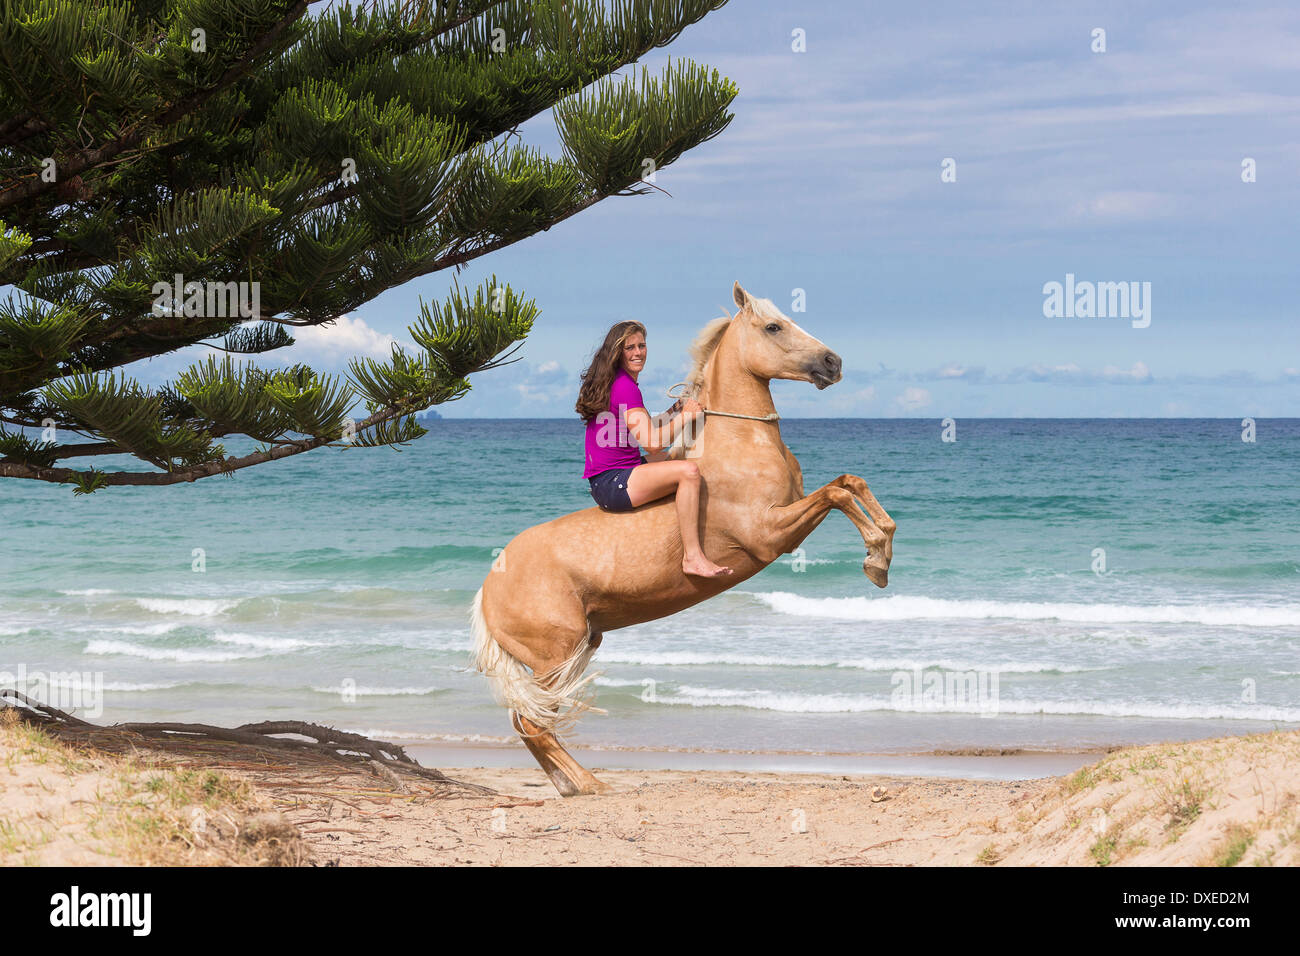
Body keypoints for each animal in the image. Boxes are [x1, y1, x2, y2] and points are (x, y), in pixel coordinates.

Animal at [471, 281, 896, 795]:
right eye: (774, 326)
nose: (833, 362)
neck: (740, 444)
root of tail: (488, 585)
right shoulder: (771, 535)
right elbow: (837, 493)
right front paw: (876, 561)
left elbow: (850, 482)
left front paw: (882, 550)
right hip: (555, 654)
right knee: (533, 722)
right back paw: (591, 784)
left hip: (578, 647)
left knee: (529, 722)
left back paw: (571, 784)